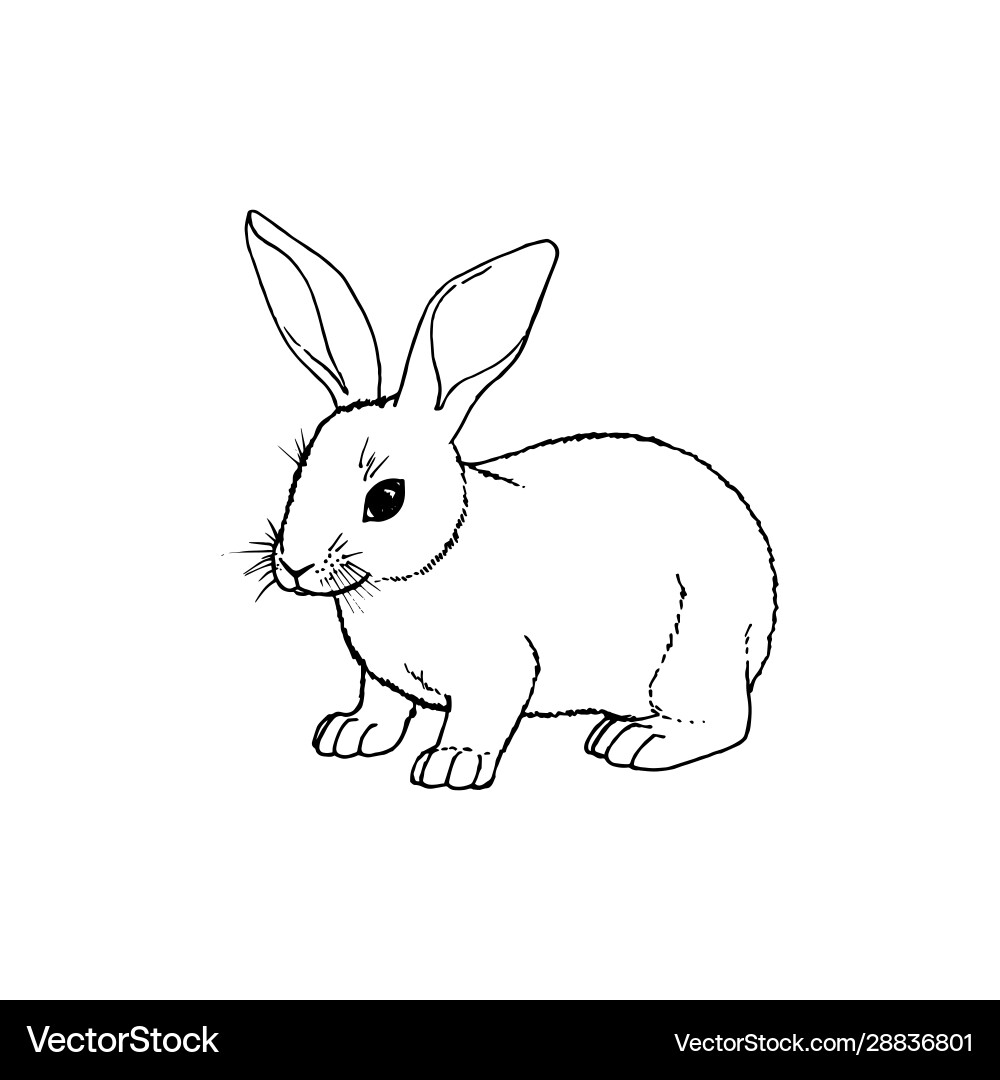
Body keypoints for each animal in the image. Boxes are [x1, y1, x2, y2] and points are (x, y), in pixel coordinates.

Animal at [244, 210, 777, 789]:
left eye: (385, 498)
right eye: (299, 470)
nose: (293, 566)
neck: (429, 564)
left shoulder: (500, 668)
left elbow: (481, 718)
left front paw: (451, 764)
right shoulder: (380, 677)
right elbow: (383, 703)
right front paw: (350, 733)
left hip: (693, 650)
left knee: (726, 722)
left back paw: (638, 741)